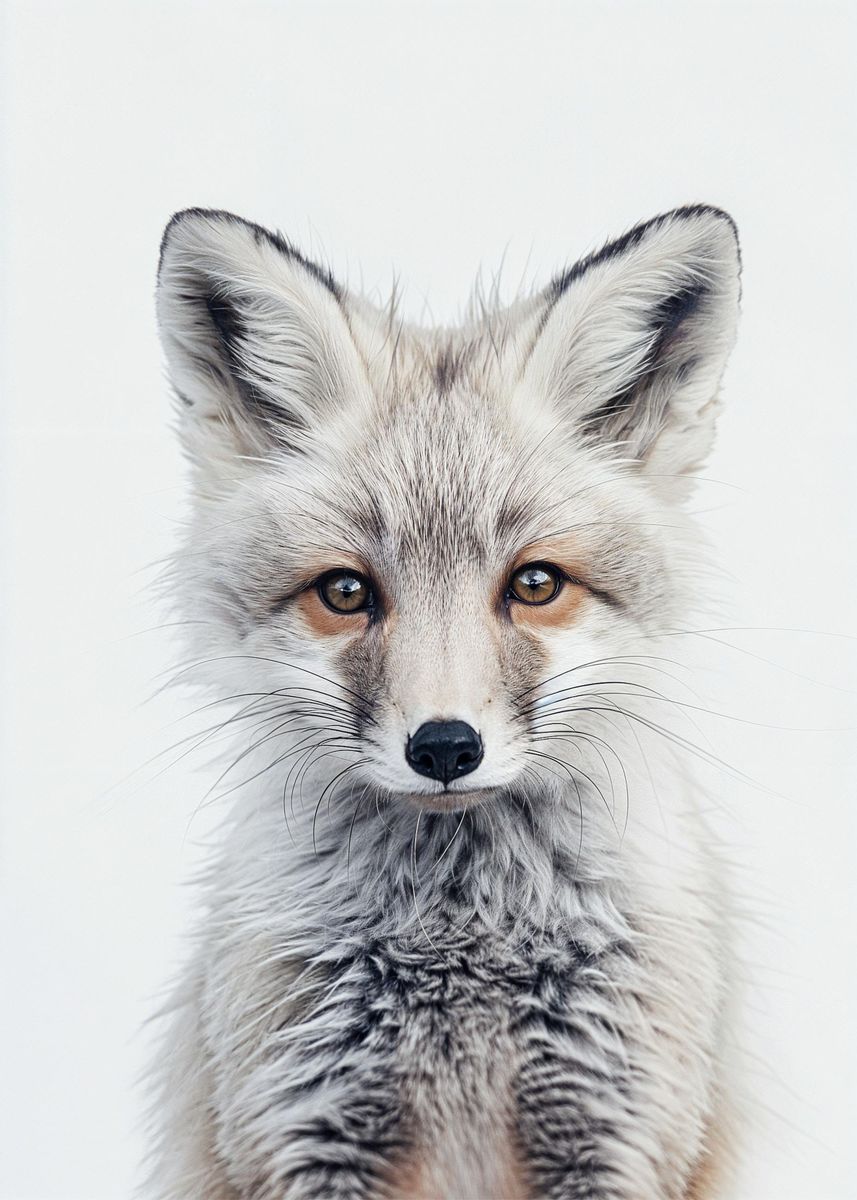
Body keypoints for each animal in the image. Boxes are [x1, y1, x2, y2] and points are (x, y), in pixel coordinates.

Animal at [147, 204, 742, 1200]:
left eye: (535, 583)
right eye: (345, 592)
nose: (444, 748)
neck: (458, 939)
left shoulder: (615, 1122)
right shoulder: (305, 1124)